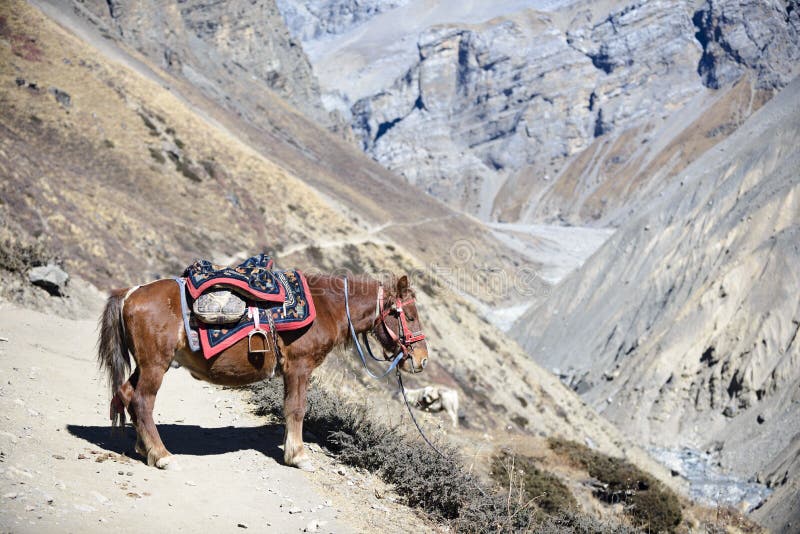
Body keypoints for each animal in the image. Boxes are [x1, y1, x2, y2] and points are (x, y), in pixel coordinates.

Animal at [97, 272, 429, 471]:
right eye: (411, 316)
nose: (422, 359)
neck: (326, 307)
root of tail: (130, 294)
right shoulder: (299, 367)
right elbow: (296, 408)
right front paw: (298, 455)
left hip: (147, 364)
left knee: (127, 394)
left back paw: (145, 448)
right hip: (155, 365)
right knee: (142, 401)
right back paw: (162, 455)